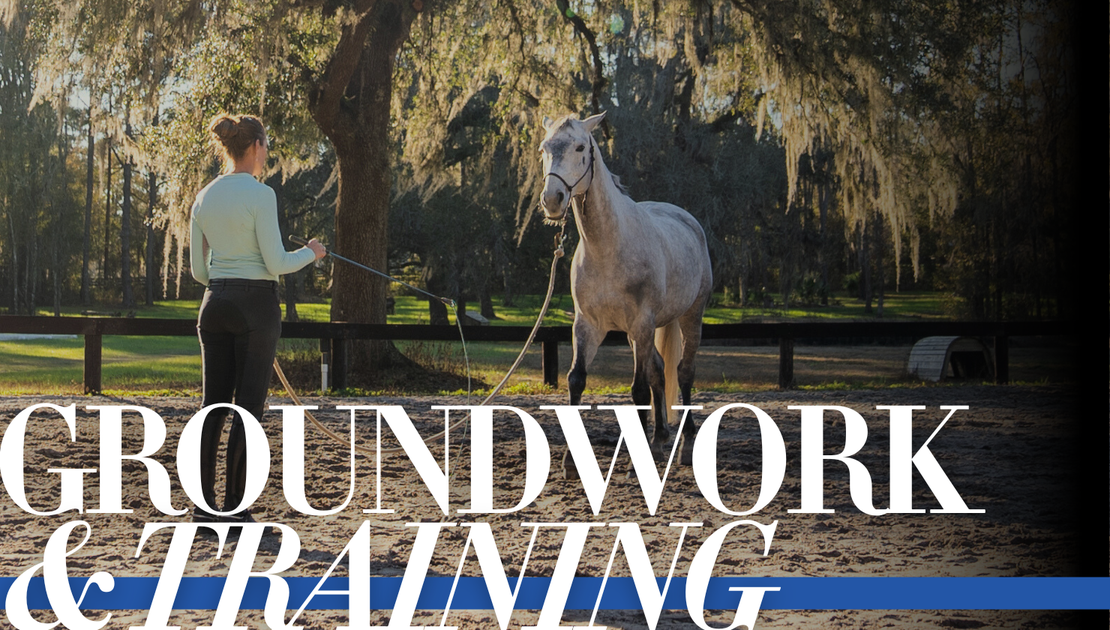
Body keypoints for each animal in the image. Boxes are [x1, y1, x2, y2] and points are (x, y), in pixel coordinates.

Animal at [538, 112, 713, 477]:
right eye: (544, 148)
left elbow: (638, 390)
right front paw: (571, 461)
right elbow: (576, 381)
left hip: (690, 317)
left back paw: (686, 445)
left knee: (683, 373)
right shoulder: (587, 326)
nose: (552, 200)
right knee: (659, 371)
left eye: (580, 147)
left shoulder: (641, 324)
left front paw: (637, 462)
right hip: (639, 335)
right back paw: (659, 441)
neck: (607, 247)